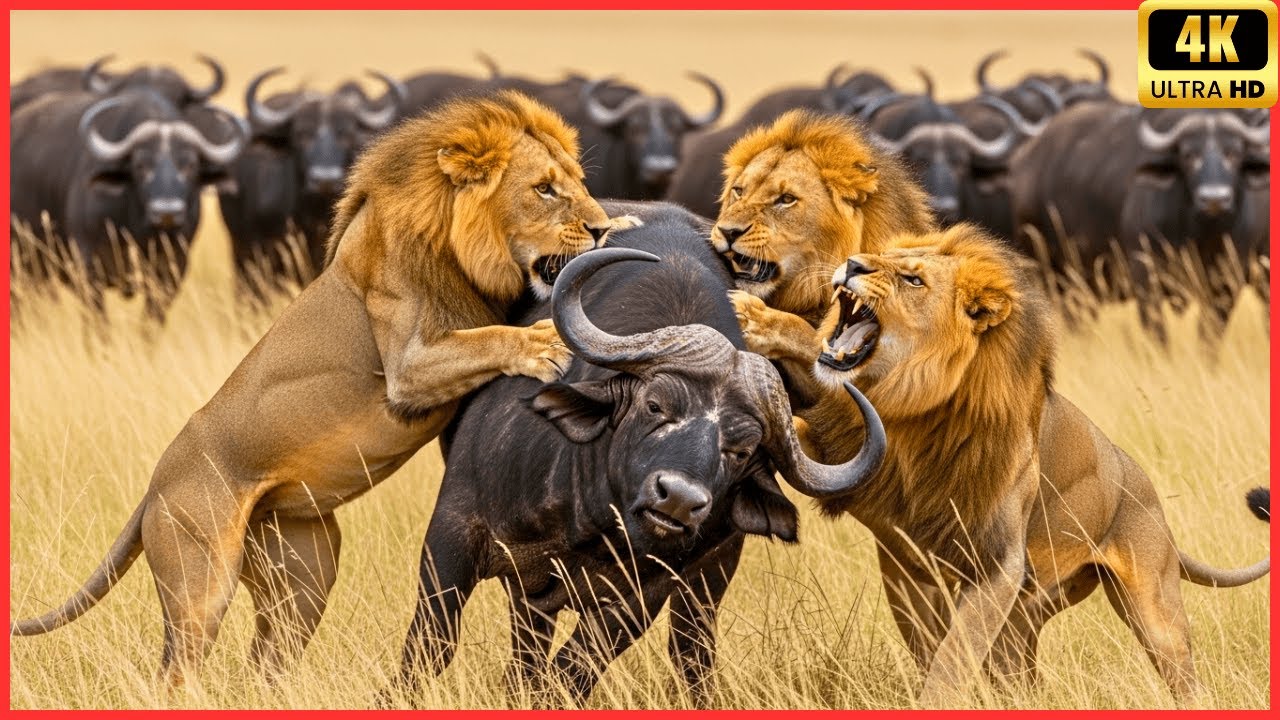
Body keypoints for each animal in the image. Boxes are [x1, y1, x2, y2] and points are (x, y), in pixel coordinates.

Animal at [393, 202, 885, 707]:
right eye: (655, 406)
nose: (679, 500)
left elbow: (572, 670)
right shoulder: (452, 533)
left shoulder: (644, 594)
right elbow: (430, 644)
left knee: (690, 650)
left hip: (708, 581)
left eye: (741, 449)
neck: (587, 523)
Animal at [795, 223, 1269, 706]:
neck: (912, 402)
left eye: (913, 280)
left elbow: (952, 657)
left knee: (1183, 675)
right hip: (1026, 613)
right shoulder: (898, 535)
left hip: (1155, 611)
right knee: (1021, 677)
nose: (852, 263)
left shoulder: (999, 563)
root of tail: (1143, 484)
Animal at [1009, 104, 1270, 342]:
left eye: (1234, 153)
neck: (1200, 234)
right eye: (1188, 155)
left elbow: (1209, 338)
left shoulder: (1227, 279)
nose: (1214, 199)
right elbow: (1158, 335)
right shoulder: (1145, 276)